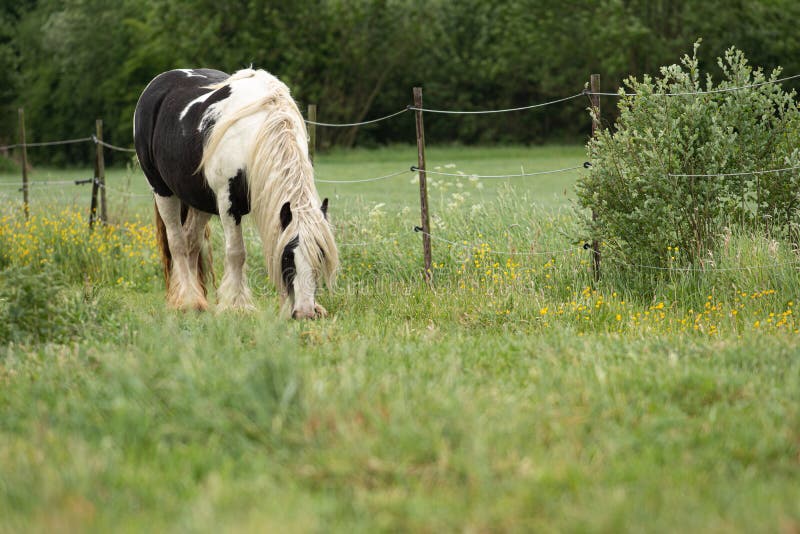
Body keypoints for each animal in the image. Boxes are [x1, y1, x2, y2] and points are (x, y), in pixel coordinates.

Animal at [133, 68, 338, 318]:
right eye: (288, 256)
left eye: (320, 253)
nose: (306, 312)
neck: (254, 134)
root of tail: (159, 81)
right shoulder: (228, 203)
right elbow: (236, 253)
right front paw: (236, 306)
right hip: (162, 191)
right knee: (178, 243)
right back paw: (189, 301)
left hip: (200, 201)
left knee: (191, 241)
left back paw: (198, 299)